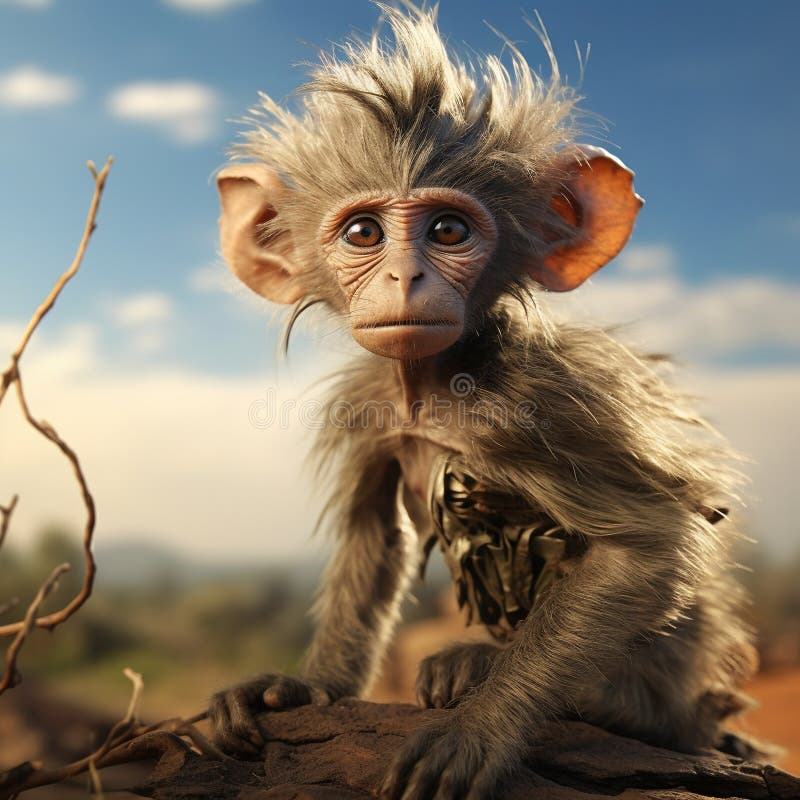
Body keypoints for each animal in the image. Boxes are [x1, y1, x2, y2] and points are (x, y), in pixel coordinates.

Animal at [208, 6, 764, 799]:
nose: (405, 278)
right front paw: (307, 687)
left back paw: (529, 681)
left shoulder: (537, 403)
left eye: (448, 230)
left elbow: (651, 543)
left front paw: (481, 729)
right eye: (363, 232)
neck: (434, 388)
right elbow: (376, 535)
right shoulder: (370, 404)